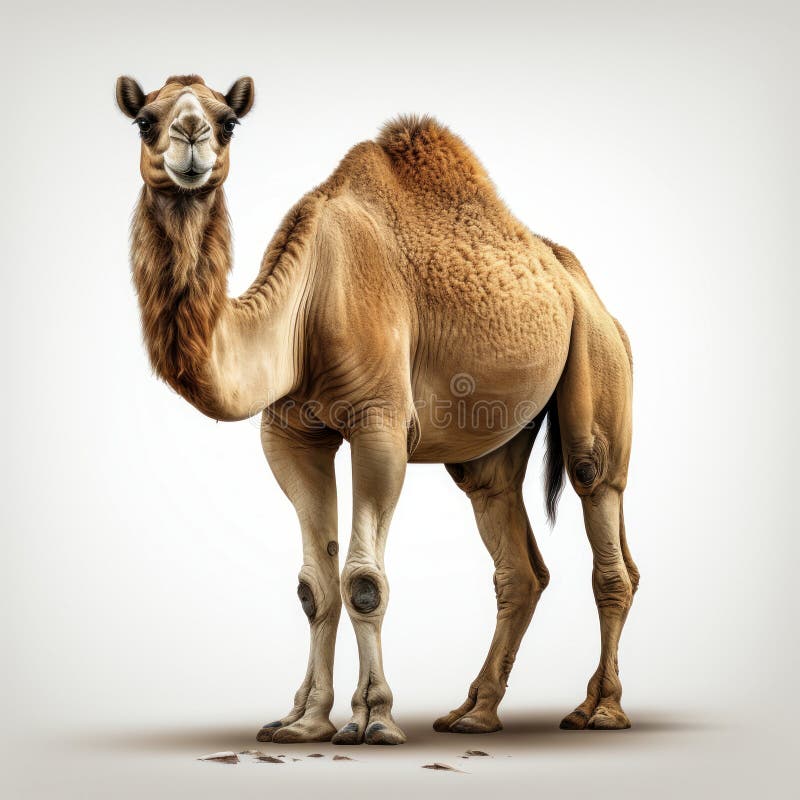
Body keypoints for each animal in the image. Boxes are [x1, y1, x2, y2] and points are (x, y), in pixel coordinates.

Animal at [116, 73, 639, 746]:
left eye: (228, 120)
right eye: (144, 119)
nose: (189, 135)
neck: (306, 302)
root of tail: (586, 290)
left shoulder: (381, 426)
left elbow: (363, 582)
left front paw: (374, 718)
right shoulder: (291, 436)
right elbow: (314, 587)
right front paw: (302, 721)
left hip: (598, 363)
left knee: (599, 500)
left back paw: (599, 709)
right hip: (495, 440)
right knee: (513, 549)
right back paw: (474, 713)